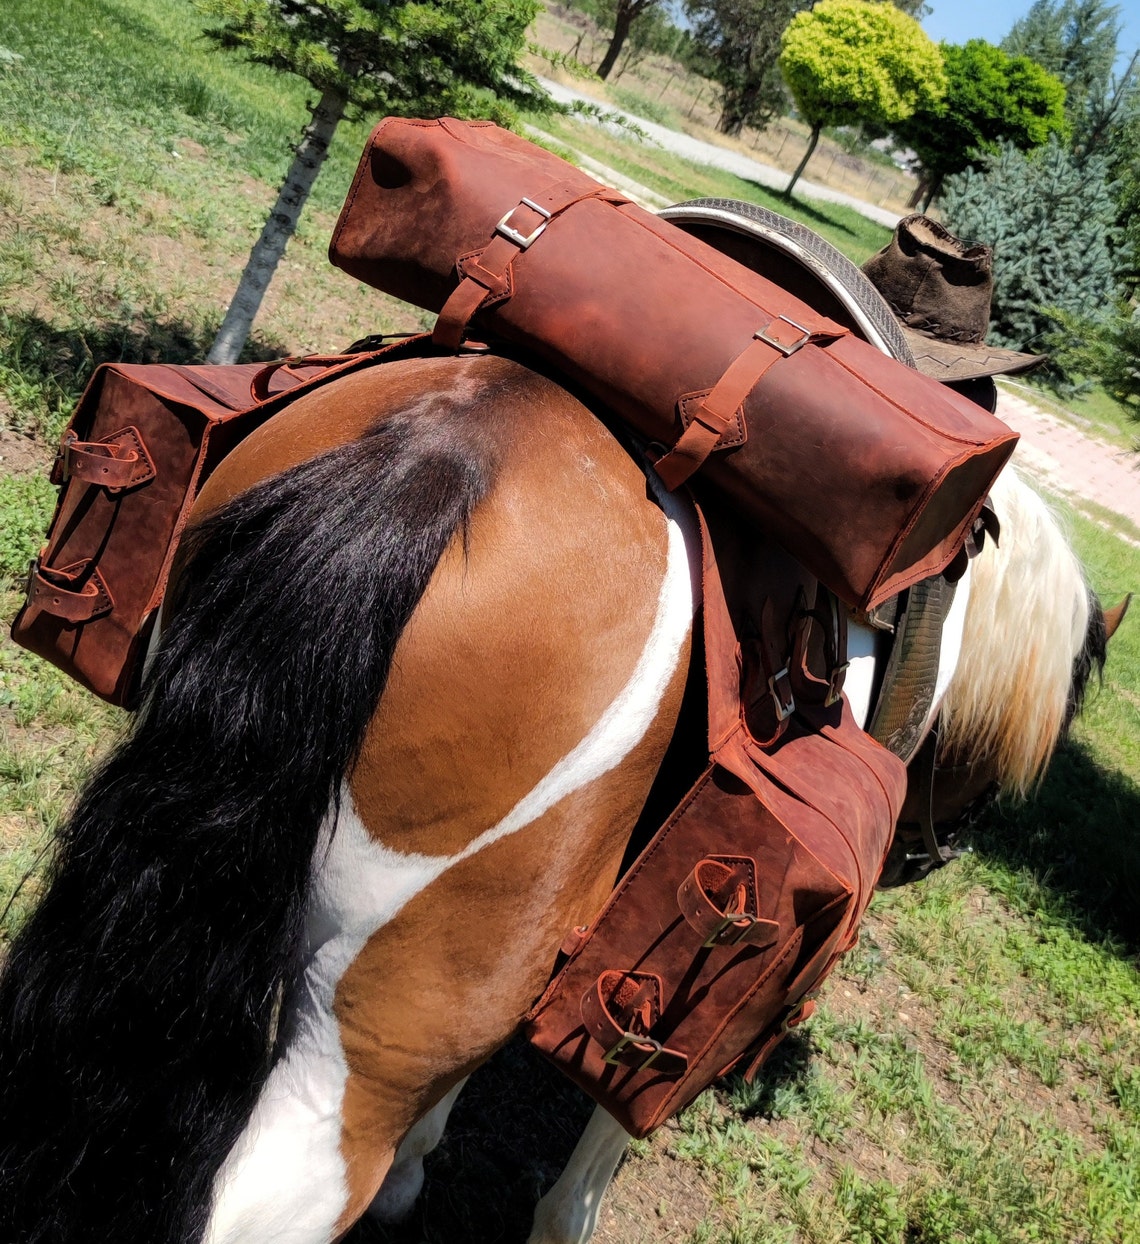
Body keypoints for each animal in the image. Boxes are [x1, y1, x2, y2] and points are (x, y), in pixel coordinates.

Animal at [0, 340, 1115, 1244]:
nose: (935, 852)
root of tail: (436, 461)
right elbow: (608, 1127)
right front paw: (559, 1216)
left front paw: (417, 1168)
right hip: (399, 1001)